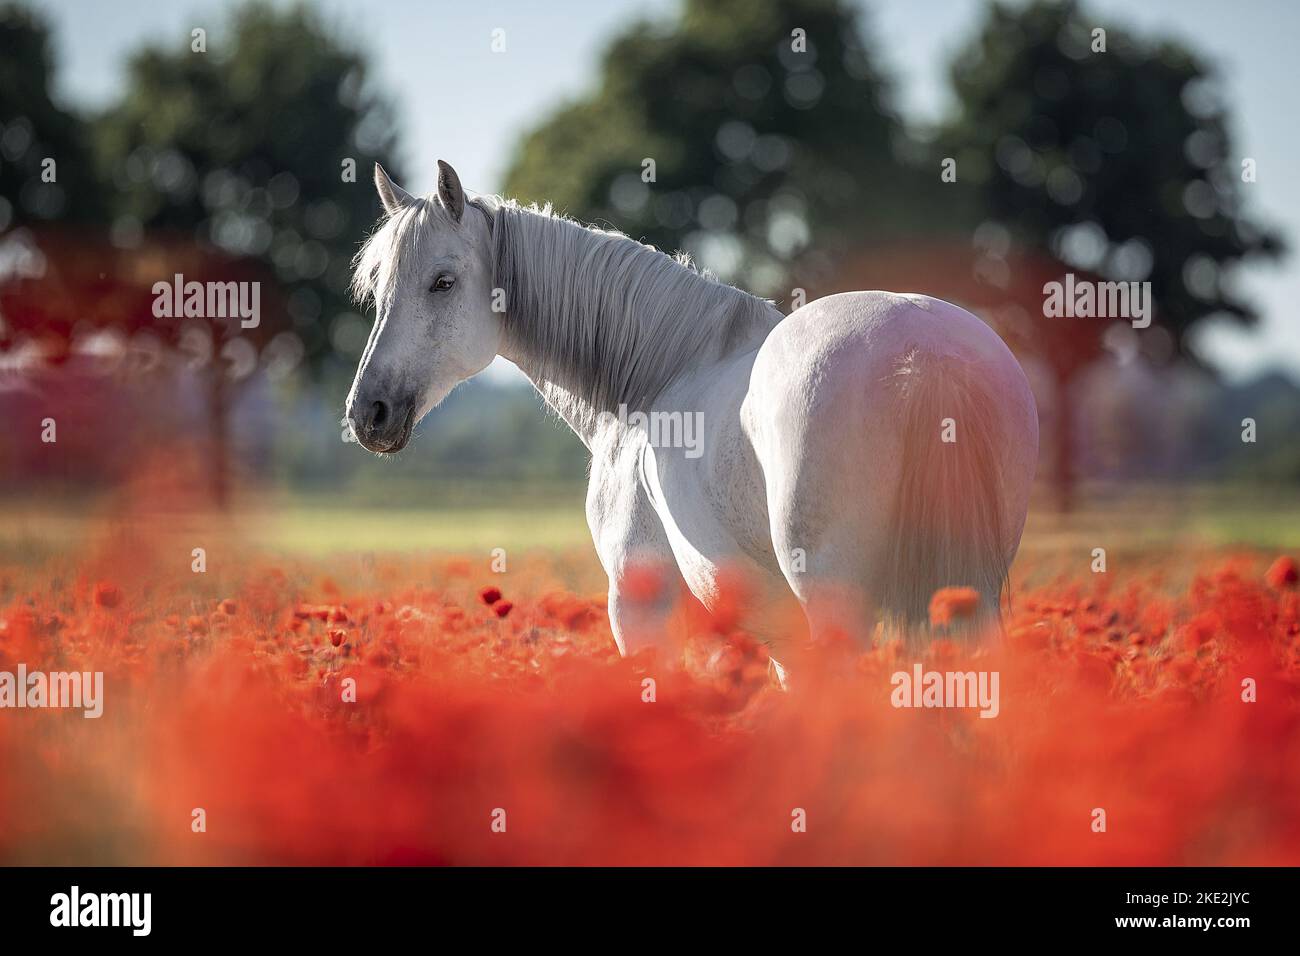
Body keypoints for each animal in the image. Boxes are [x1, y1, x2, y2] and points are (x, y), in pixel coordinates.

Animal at [345, 161, 1039, 673]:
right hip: (967, 603)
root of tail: (926, 352)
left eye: (442, 281)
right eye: (378, 287)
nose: (367, 412)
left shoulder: (639, 611)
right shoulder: (782, 645)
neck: (656, 378)